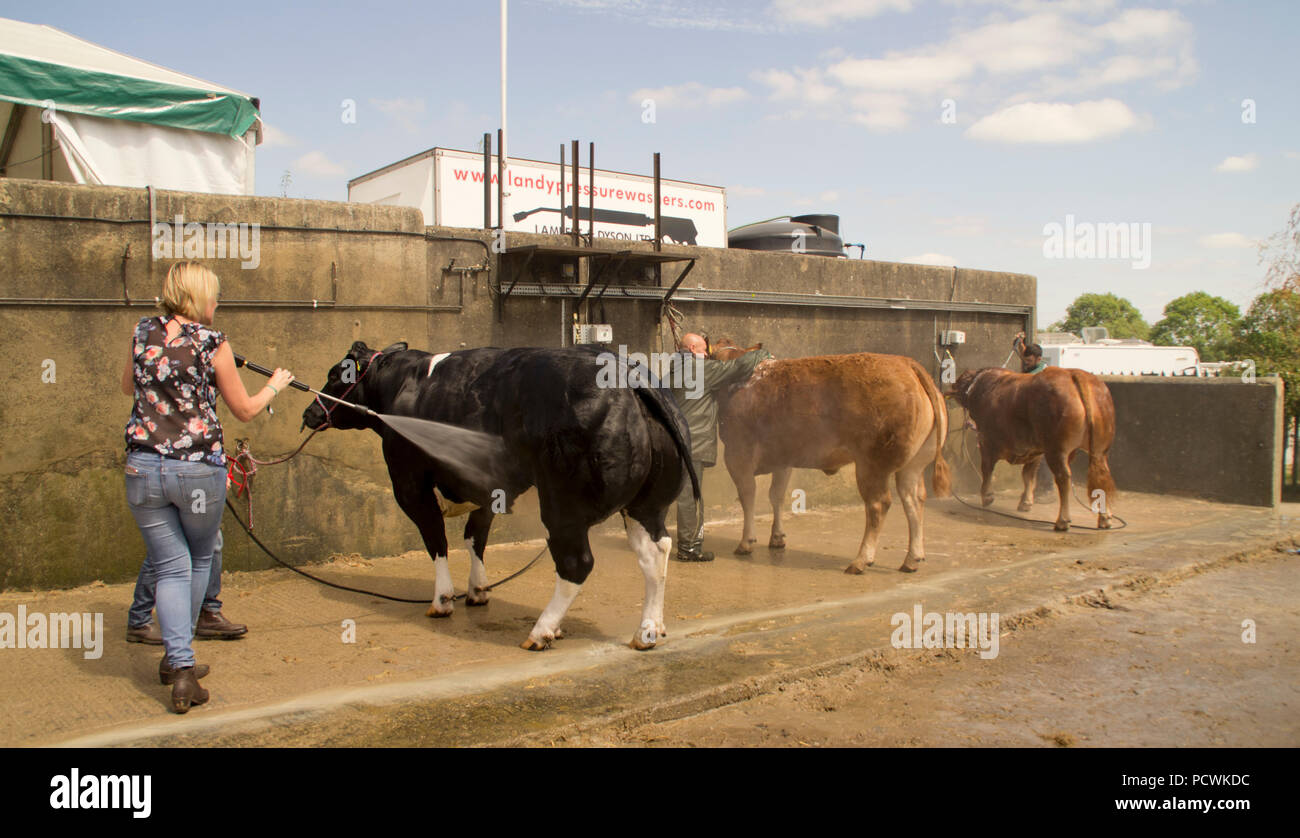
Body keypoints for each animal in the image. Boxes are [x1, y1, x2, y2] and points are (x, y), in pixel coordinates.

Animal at [301, 341, 700, 651]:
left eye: (336, 375)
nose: (309, 412)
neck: (404, 383)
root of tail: (627, 372)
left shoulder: (409, 482)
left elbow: (436, 540)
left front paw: (442, 600)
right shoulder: (485, 486)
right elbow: (474, 537)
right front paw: (477, 590)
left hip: (563, 507)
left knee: (577, 563)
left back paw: (542, 630)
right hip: (646, 505)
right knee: (655, 552)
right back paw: (648, 630)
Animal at [718, 352, 952, 574]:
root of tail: (907, 363)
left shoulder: (738, 453)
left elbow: (748, 495)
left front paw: (746, 541)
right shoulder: (783, 459)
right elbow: (777, 495)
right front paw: (777, 537)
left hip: (871, 464)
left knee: (878, 504)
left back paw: (861, 560)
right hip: (913, 465)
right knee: (914, 499)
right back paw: (912, 559)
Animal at [947, 366, 1116, 530]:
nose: (951, 387)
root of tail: (1074, 374)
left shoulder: (986, 441)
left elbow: (987, 469)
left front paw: (987, 496)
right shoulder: (1035, 452)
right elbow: (1028, 475)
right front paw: (1025, 502)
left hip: (1056, 450)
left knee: (1064, 478)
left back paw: (1062, 521)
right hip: (1100, 450)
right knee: (1102, 477)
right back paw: (1105, 518)